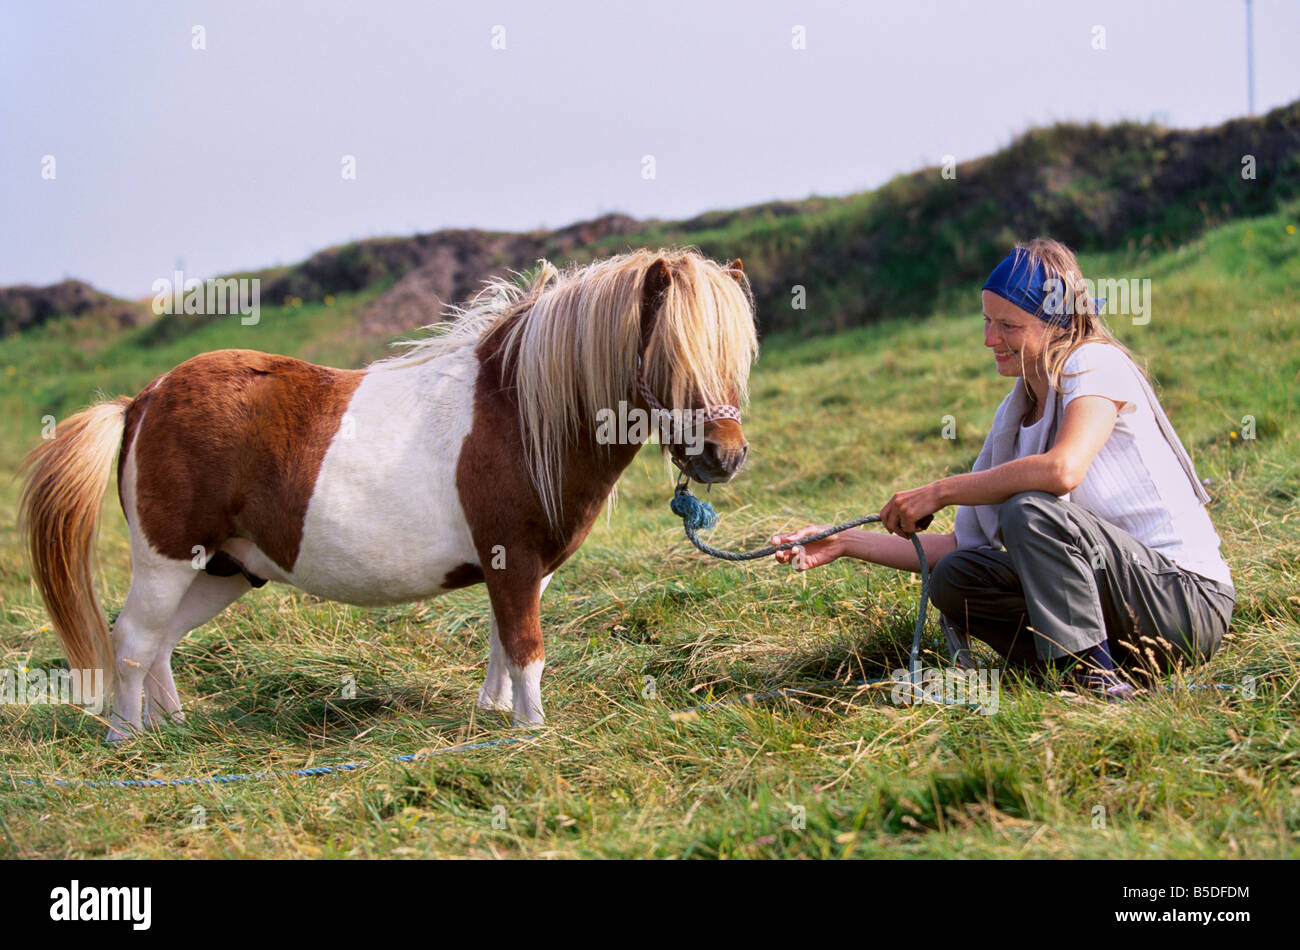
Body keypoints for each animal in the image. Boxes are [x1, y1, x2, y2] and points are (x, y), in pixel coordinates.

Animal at [19, 248, 758, 741]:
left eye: (738, 356)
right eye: (671, 356)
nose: (724, 457)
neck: (519, 412)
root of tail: (141, 400)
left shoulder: (521, 572)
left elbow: (502, 642)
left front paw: (495, 715)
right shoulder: (513, 561)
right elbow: (526, 649)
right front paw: (531, 733)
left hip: (224, 569)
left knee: (163, 644)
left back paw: (174, 728)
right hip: (168, 560)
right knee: (133, 641)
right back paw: (128, 740)